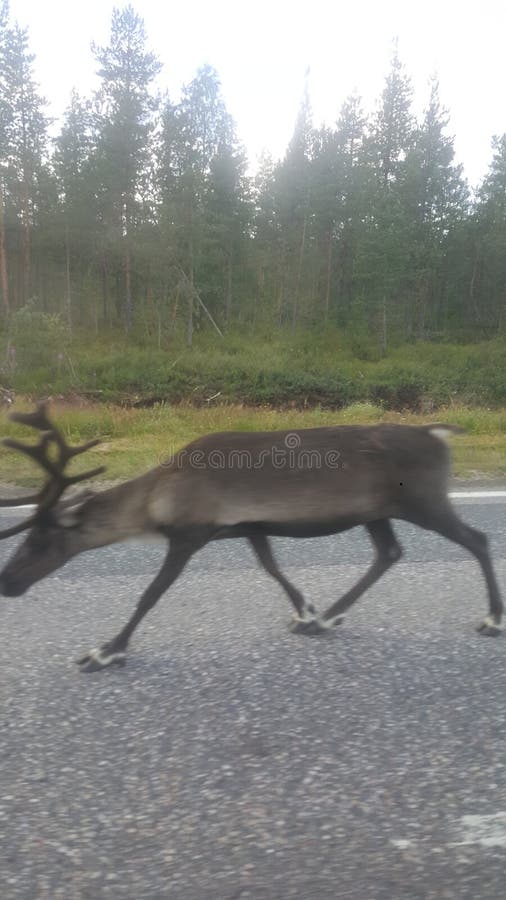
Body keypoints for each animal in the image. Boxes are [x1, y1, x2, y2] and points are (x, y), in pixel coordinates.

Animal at [0, 403, 502, 673]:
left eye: (40, 541)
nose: (8, 583)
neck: (155, 501)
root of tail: (438, 433)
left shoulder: (189, 535)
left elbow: (150, 594)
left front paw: (105, 652)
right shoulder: (248, 527)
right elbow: (271, 567)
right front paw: (306, 611)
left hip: (423, 501)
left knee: (476, 539)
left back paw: (493, 619)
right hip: (377, 512)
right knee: (389, 552)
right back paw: (327, 619)